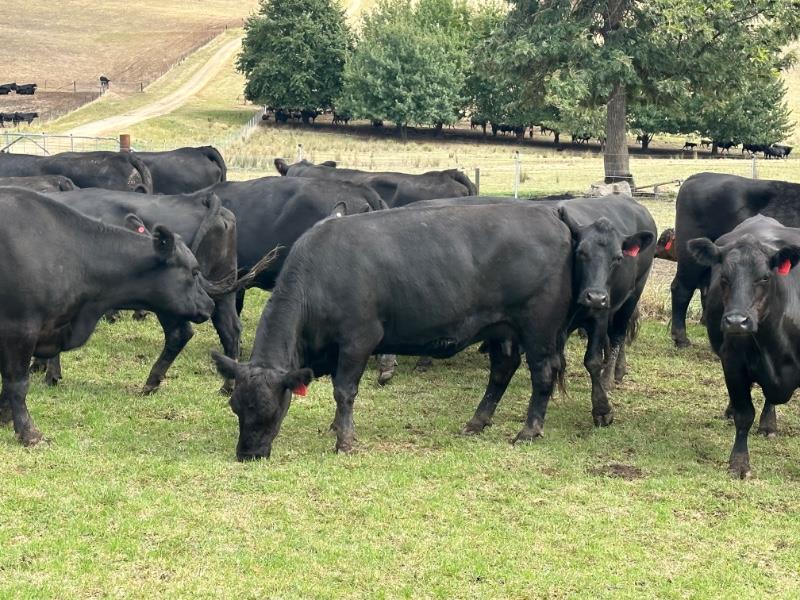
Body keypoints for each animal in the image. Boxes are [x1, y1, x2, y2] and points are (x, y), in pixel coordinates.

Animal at [42, 188, 249, 393]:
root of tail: (201, 200)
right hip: (222, 290)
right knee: (230, 330)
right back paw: (228, 386)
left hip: (172, 302)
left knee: (180, 333)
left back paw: (151, 382)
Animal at [212, 203, 574, 461]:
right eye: (236, 407)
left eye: (270, 409)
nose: (247, 454)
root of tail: (551, 215)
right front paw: (336, 427)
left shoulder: (358, 339)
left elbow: (344, 391)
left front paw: (345, 440)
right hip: (501, 329)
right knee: (501, 371)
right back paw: (476, 422)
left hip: (538, 328)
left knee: (542, 374)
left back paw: (528, 431)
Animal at [688, 215, 800, 478]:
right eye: (724, 278)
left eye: (765, 277)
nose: (736, 321)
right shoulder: (733, 363)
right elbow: (744, 414)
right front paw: (739, 463)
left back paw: (768, 425)